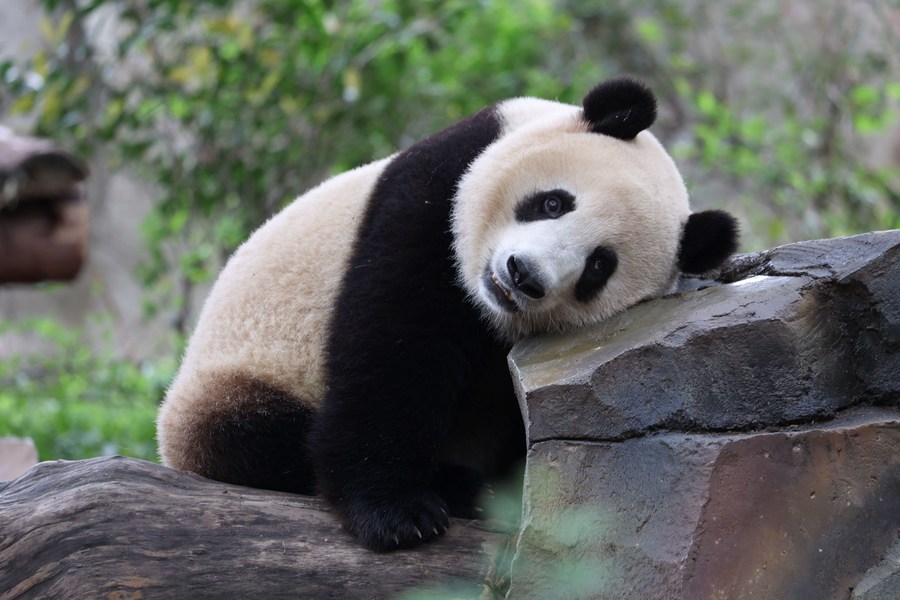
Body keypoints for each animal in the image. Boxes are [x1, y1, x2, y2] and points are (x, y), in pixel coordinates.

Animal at [157, 77, 738, 552]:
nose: (523, 275)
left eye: (599, 267)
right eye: (553, 203)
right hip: (233, 381)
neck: (483, 306)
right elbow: (393, 348)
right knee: (256, 439)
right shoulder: (433, 196)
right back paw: (460, 486)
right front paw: (397, 514)